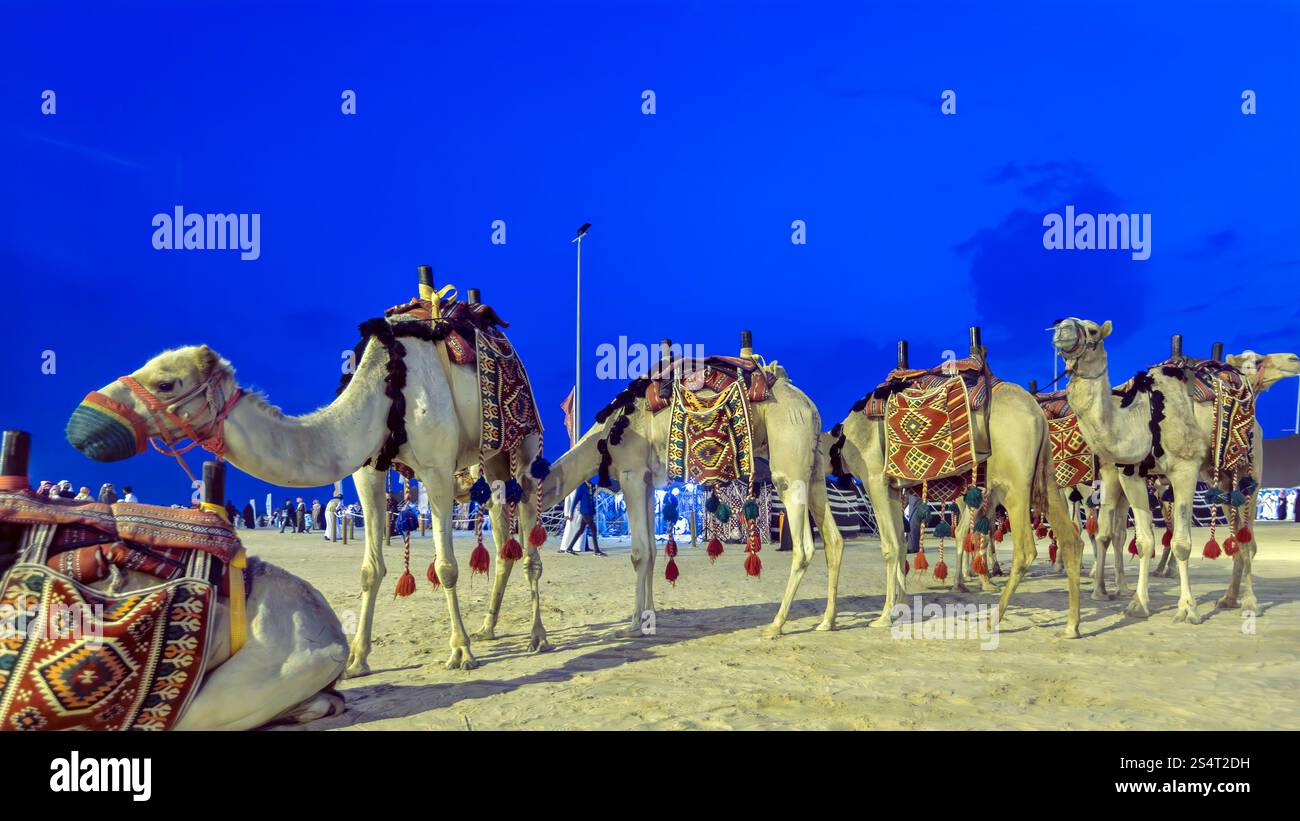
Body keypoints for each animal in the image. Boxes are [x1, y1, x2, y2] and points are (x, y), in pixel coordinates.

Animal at [67, 333, 549, 679]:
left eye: (166, 382)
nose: (81, 420)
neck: (387, 391)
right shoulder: (366, 471)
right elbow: (370, 570)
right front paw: (357, 660)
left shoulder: (436, 468)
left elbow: (446, 567)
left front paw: (460, 652)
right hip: (489, 462)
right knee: (502, 536)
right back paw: (488, 628)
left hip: (522, 449)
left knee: (528, 542)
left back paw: (537, 637)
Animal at [537, 351, 845, 639]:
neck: (606, 433)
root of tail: (810, 406)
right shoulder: (648, 482)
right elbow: (651, 552)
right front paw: (649, 618)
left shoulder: (631, 474)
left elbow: (638, 554)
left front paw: (634, 625)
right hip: (815, 469)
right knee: (833, 538)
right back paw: (827, 621)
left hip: (789, 457)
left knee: (803, 546)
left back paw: (776, 625)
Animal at [830, 347, 1086, 638]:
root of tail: (1037, 413)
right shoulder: (894, 489)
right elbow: (901, 542)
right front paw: (901, 605)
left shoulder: (875, 480)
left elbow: (891, 546)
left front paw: (884, 616)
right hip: (1043, 477)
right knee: (1071, 539)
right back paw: (1071, 626)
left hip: (1014, 482)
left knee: (1024, 550)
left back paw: (992, 619)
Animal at [1053, 318, 1299, 622]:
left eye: (1092, 331)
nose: (1061, 328)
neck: (1140, 418)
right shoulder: (1129, 475)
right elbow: (1142, 541)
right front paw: (1137, 603)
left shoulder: (1183, 469)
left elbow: (1181, 542)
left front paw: (1187, 608)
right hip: (1221, 479)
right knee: (1235, 533)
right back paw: (1228, 598)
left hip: (1249, 470)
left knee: (1247, 538)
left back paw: (1250, 603)